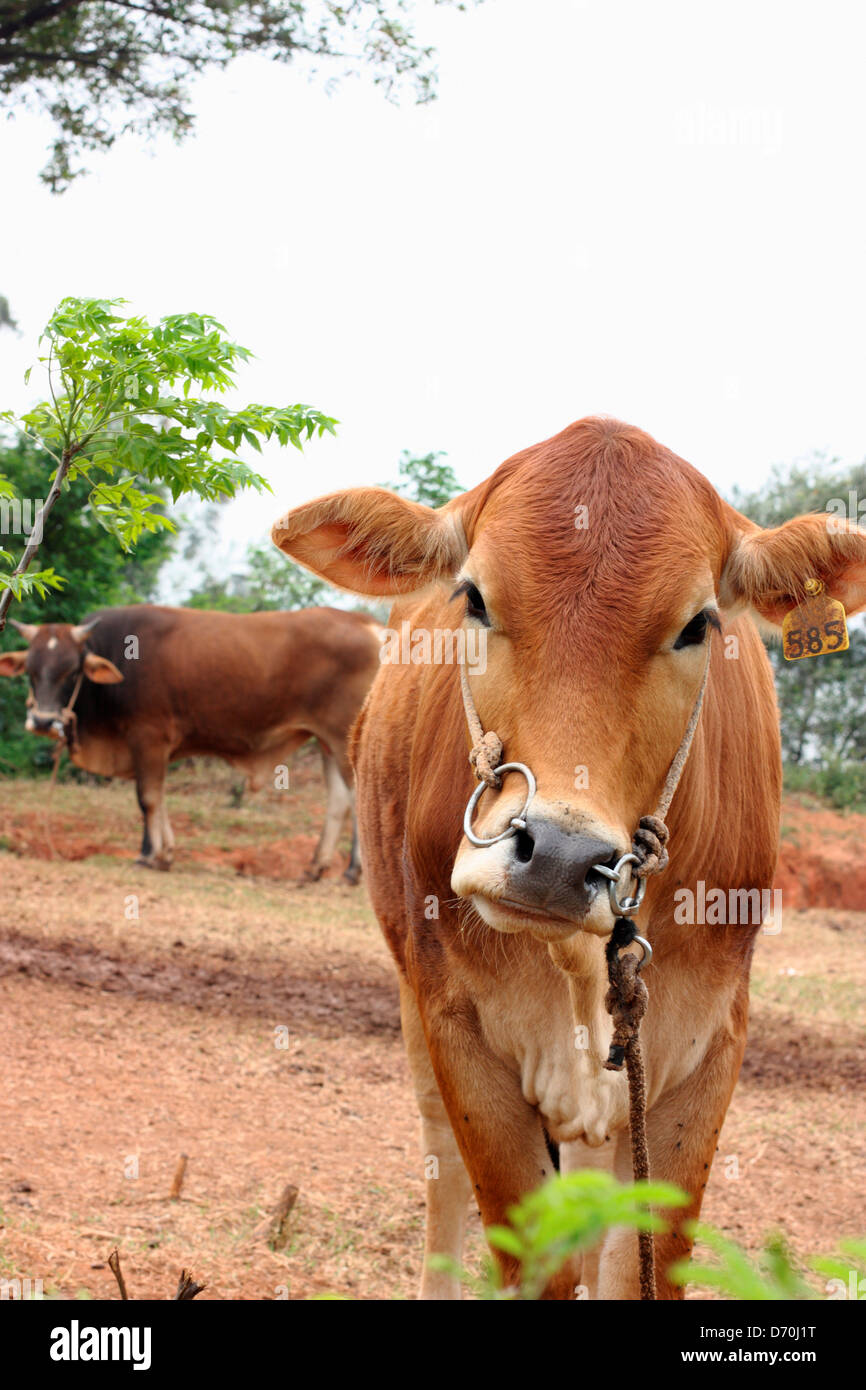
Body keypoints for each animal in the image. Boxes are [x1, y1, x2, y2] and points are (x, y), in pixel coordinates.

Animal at [0, 604, 383, 881]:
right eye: (31, 670)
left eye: (71, 670)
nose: (43, 722)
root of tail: (369, 625)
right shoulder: (156, 747)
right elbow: (158, 799)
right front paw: (161, 852)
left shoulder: (148, 738)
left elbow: (147, 799)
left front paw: (152, 856)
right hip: (328, 742)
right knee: (338, 802)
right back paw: (316, 867)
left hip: (341, 736)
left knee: (358, 797)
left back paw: (354, 872)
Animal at [271, 416, 866, 1299]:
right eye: (475, 597)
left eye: (698, 624)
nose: (556, 855)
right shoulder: (461, 1030)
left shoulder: (706, 1050)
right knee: (441, 1170)